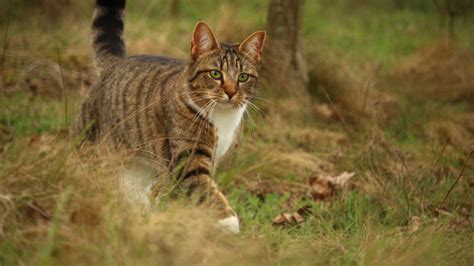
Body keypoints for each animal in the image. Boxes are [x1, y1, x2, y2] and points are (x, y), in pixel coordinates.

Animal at [76, 0, 264, 233]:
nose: (231, 92)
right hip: (90, 144)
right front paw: (229, 222)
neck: (223, 118)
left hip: (139, 165)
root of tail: (116, 62)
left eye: (243, 77)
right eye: (215, 74)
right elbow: (206, 190)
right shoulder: (189, 161)